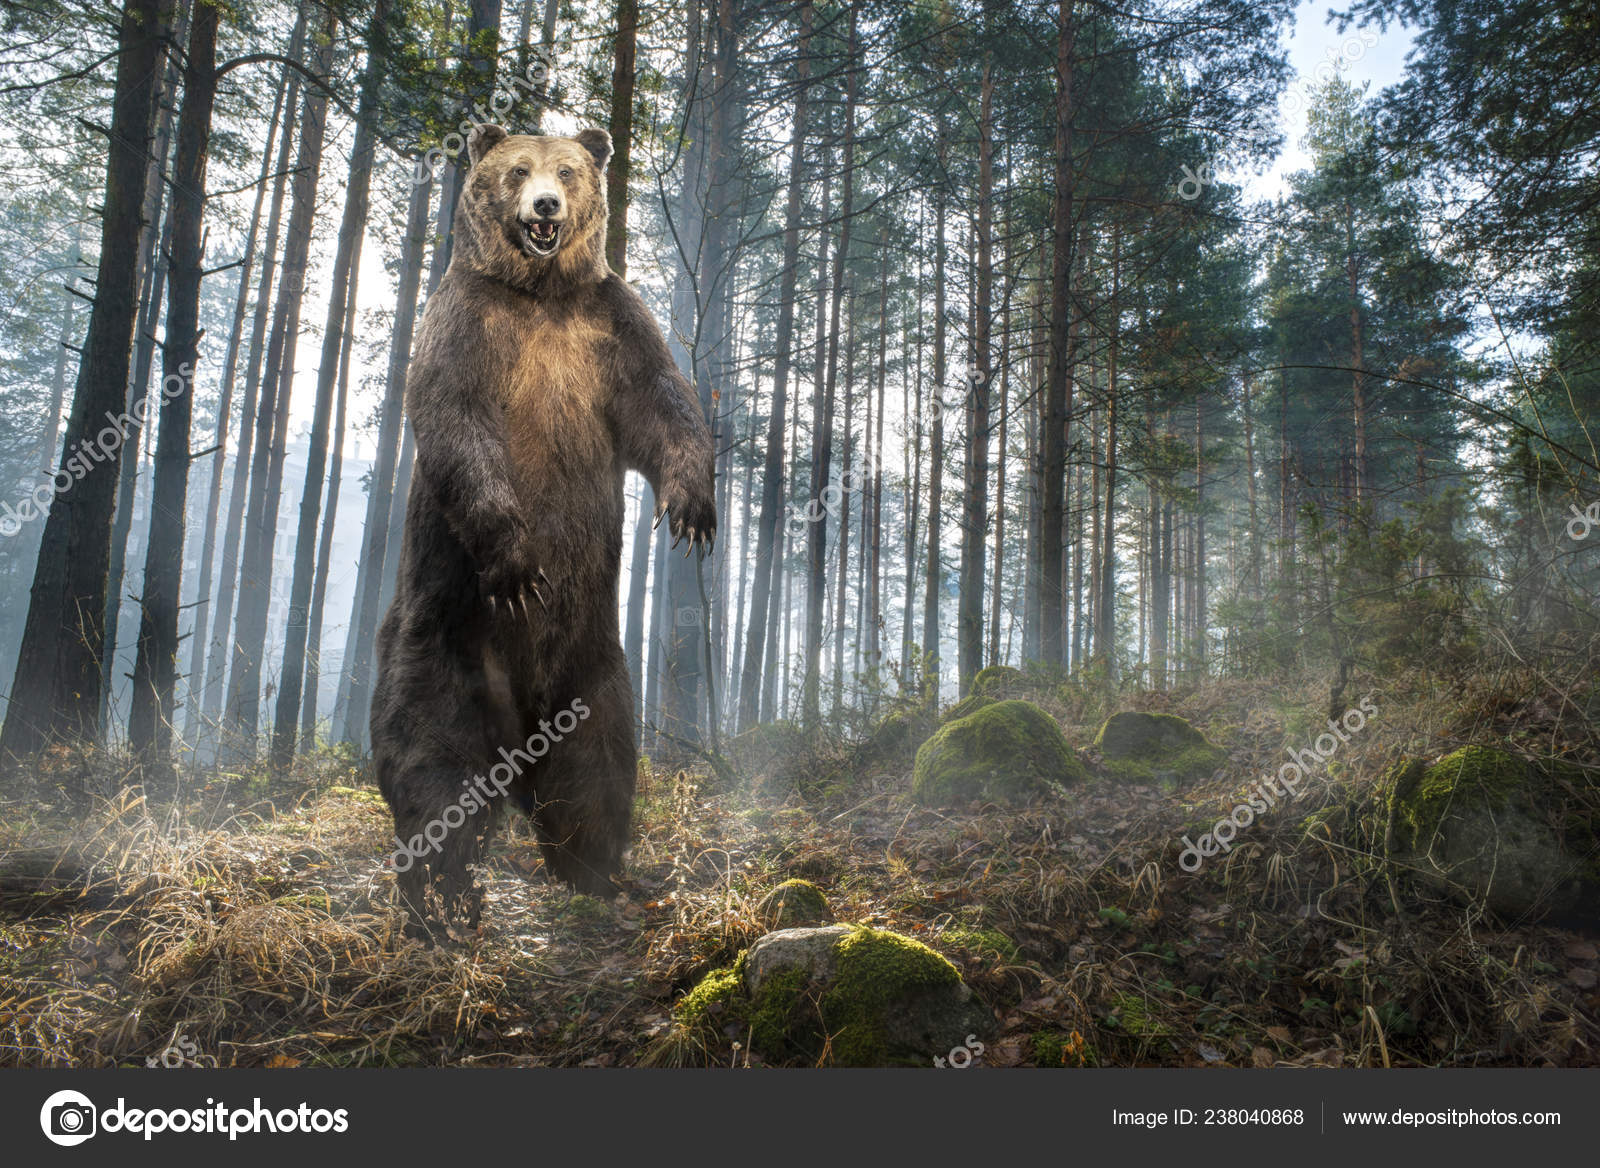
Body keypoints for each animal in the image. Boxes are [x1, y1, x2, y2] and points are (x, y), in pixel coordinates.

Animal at [372, 123, 716, 934]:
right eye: (518, 170)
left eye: (567, 170)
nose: (546, 206)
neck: (540, 293)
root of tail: (517, 724)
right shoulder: (467, 324)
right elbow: (459, 421)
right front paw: (520, 565)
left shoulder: (611, 323)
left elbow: (663, 401)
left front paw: (692, 510)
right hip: (443, 640)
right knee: (431, 762)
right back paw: (442, 890)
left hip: (592, 665)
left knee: (598, 765)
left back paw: (596, 871)